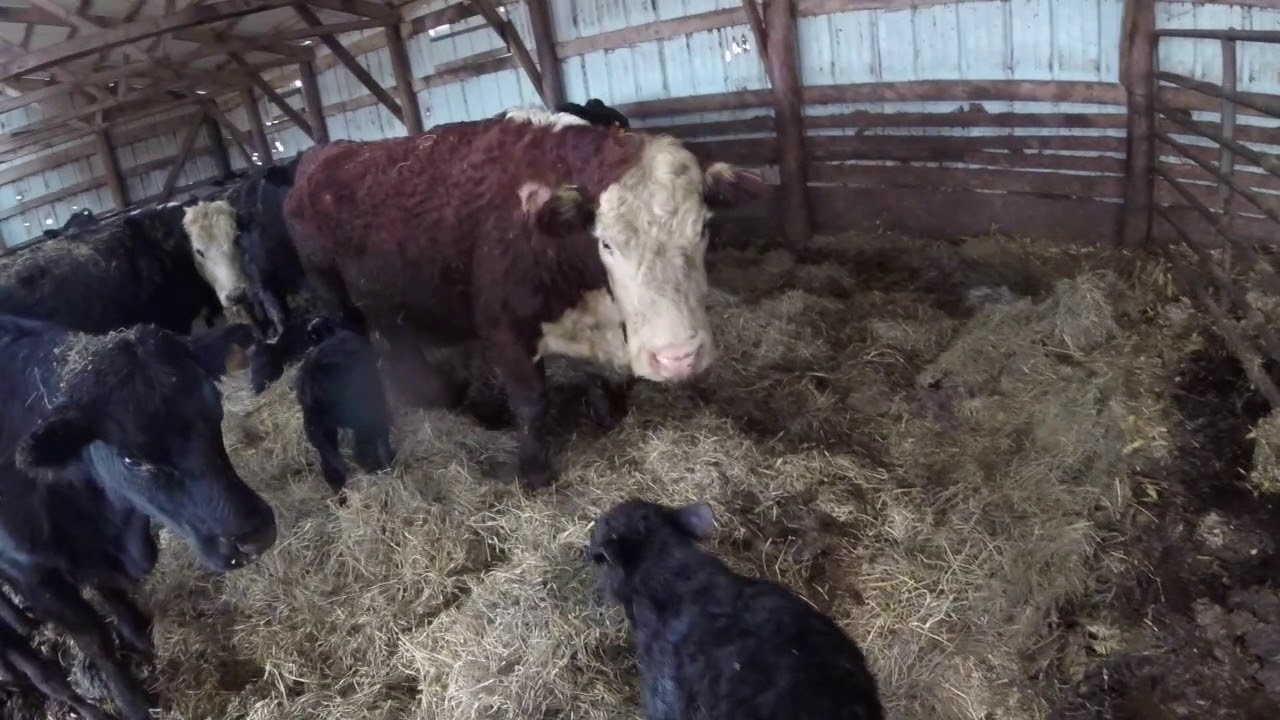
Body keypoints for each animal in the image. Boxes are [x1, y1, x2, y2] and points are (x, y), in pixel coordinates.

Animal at [0, 313, 278, 720]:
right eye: (132, 459)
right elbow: (94, 638)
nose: (255, 536)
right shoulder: (32, 573)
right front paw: (133, 702)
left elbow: (109, 589)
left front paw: (139, 634)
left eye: (216, 412)